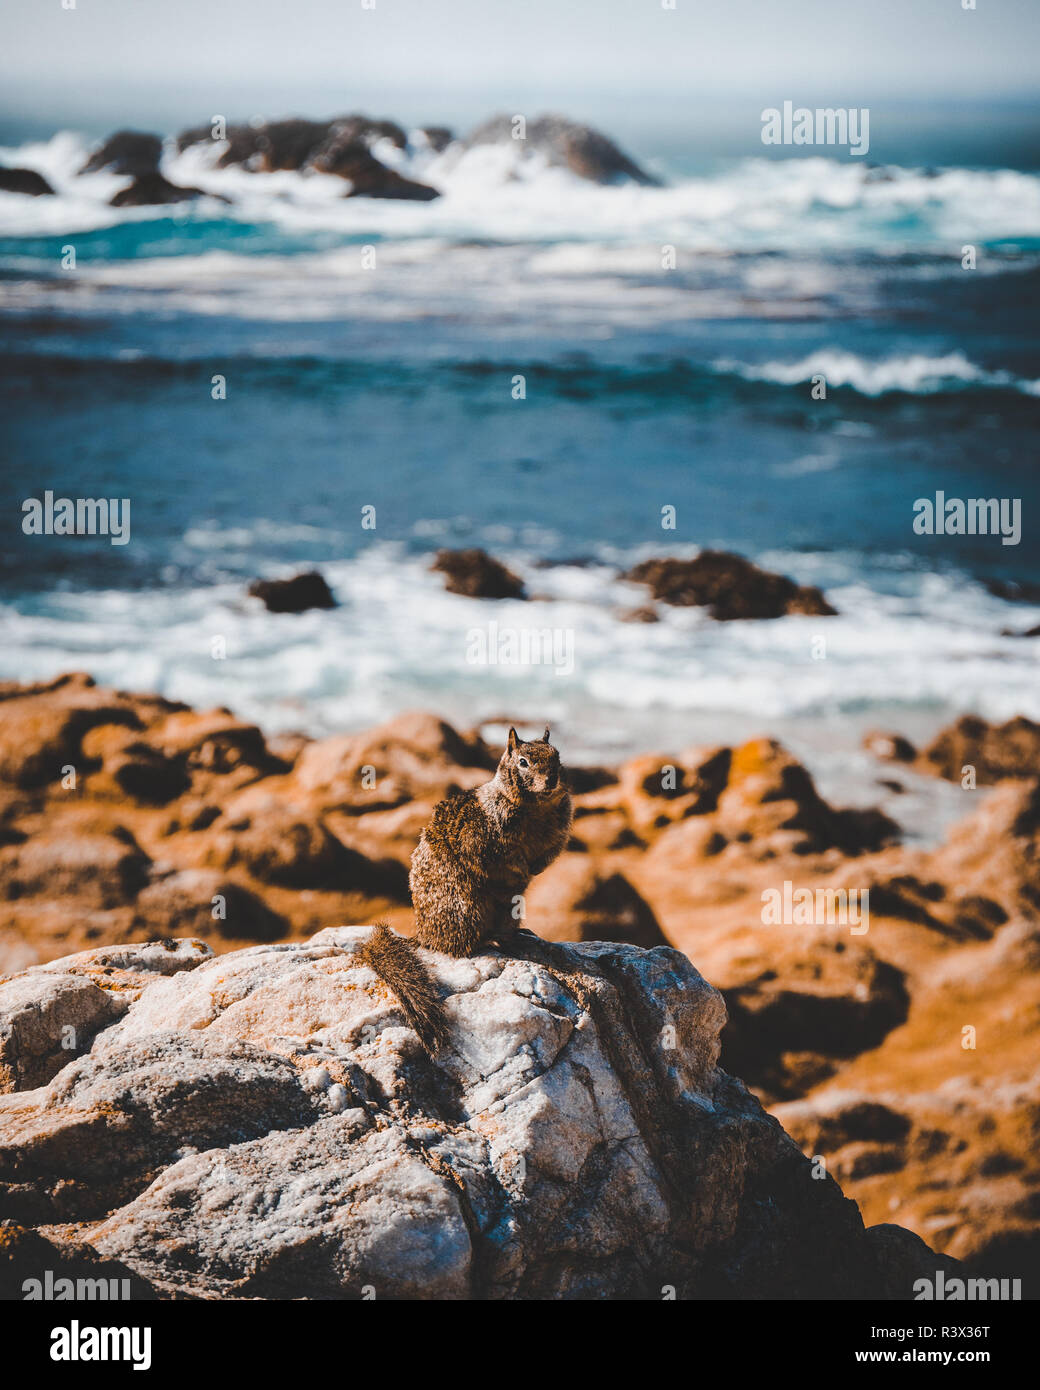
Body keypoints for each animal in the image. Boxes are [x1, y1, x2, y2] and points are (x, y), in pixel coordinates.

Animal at [357, 725, 573, 1052]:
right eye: (523, 762)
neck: (536, 807)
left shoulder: (560, 825)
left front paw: (534, 869)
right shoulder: (481, 836)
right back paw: (486, 942)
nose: (551, 779)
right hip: (465, 906)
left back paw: (517, 936)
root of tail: (423, 935)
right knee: (460, 945)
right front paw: (522, 868)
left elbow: (548, 855)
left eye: (557, 757)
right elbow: (497, 858)